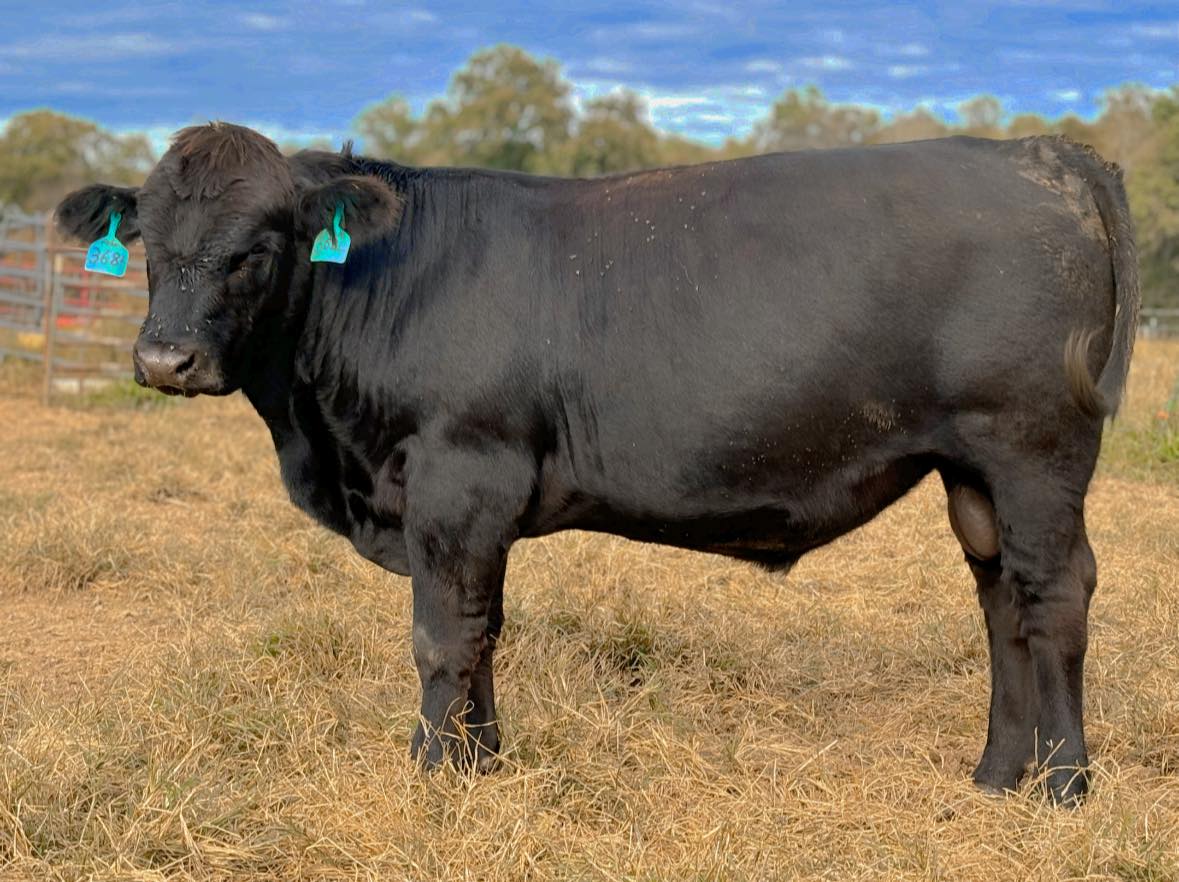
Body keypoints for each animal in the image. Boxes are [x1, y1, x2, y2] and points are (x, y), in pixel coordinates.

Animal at [55, 123, 1139, 804]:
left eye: (259, 245)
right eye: (149, 241)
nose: (166, 359)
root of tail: (1043, 152)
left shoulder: (459, 477)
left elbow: (443, 637)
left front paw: (433, 775)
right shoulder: (465, 507)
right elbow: (483, 636)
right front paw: (483, 765)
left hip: (1033, 448)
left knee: (1055, 596)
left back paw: (1064, 787)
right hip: (974, 471)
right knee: (999, 599)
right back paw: (996, 775)